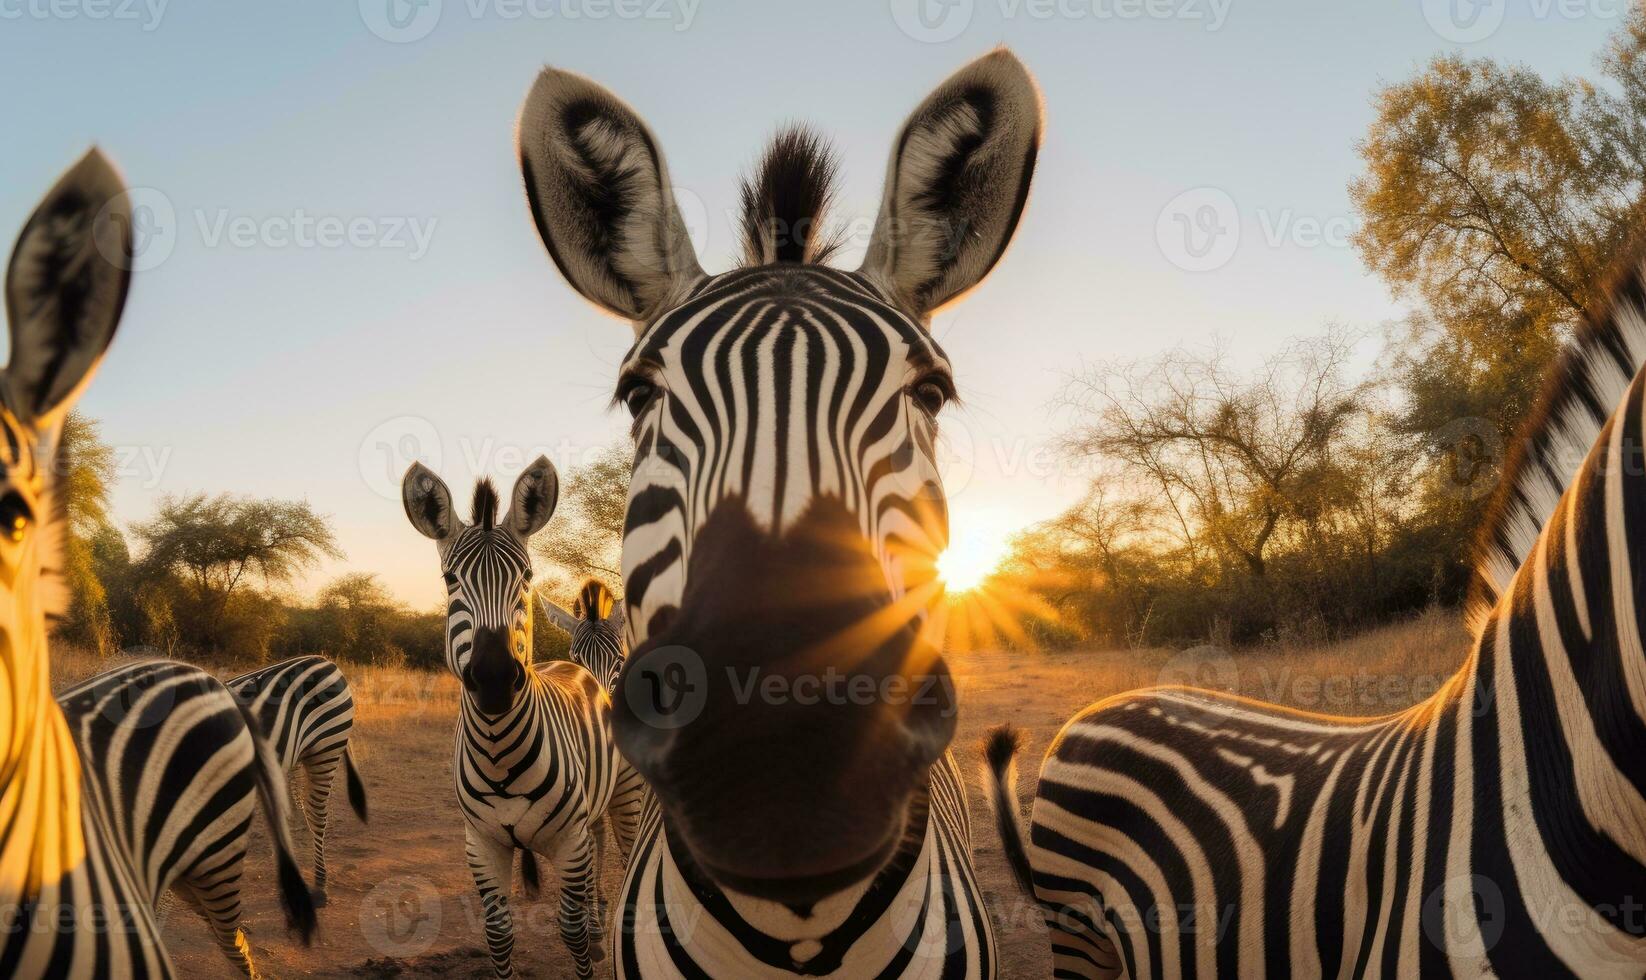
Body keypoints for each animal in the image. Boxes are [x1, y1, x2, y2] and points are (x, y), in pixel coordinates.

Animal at [226, 655, 370, 905]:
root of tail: (328, 661)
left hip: (326, 749)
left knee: (316, 813)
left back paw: (319, 885)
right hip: (296, 755)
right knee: (297, 806)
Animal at [401, 457, 636, 979]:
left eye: (526, 576)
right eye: (450, 581)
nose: (493, 680)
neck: (497, 752)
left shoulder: (569, 842)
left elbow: (570, 931)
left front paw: (588, 945)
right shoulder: (481, 846)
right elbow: (498, 935)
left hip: (625, 796)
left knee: (624, 852)